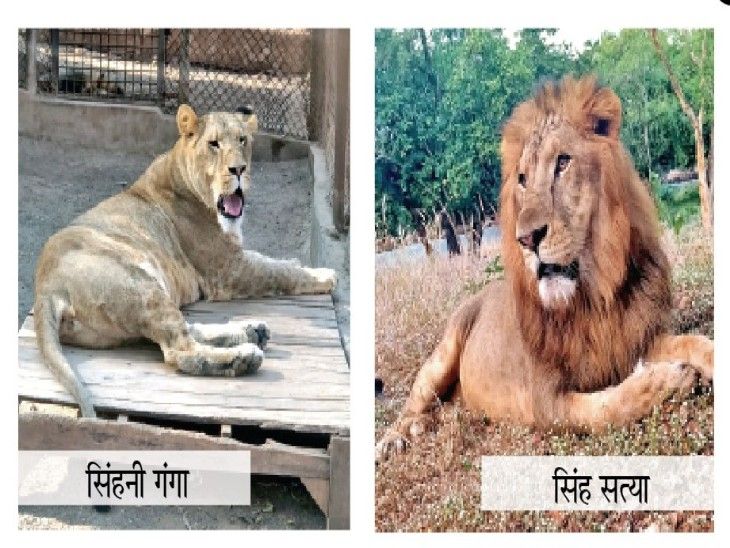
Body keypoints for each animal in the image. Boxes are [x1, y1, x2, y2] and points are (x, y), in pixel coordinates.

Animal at [33, 104, 336, 418]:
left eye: (242, 140)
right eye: (214, 144)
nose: (239, 170)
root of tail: (46, 288)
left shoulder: (235, 258)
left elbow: (272, 260)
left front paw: (297, 261)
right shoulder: (228, 271)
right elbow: (279, 272)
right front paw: (324, 275)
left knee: (185, 330)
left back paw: (252, 331)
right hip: (142, 285)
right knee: (180, 350)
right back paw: (243, 355)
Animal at [376, 76, 713, 459]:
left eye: (563, 162)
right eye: (522, 179)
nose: (526, 238)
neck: (594, 298)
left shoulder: (636, 339)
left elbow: (697, 342)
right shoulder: (544, 401)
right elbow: (608, 407)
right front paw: (666, 380)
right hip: (443, 353)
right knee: (413, 402)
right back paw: (395, 437)